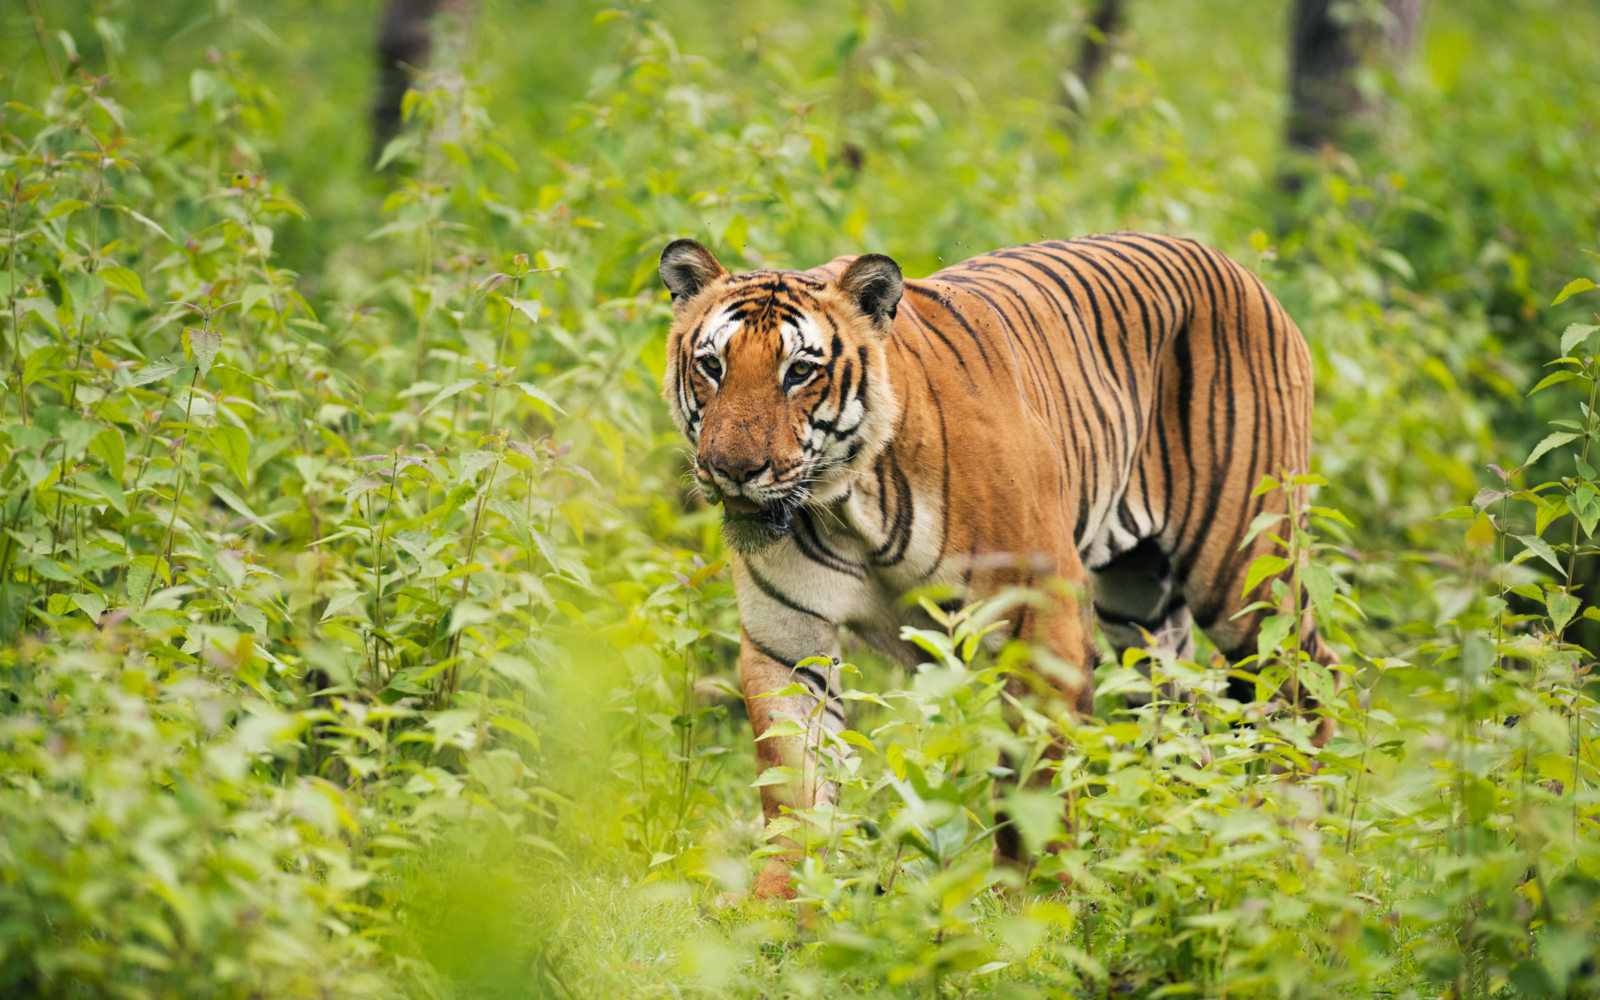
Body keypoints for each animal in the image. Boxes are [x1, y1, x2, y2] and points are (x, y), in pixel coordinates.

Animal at [658, 232, 1334, 899]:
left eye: (799, 371)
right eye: (713, 366)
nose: (732, 470)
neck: (849, 503)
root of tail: (1238, 267)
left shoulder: (1044, 622)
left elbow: (1034, 782)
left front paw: (1031, 898)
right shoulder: (788, 638)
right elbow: (794, 780)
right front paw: (780, 899)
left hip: (1246, 569)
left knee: (1305, 683)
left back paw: (1280, 843)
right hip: (1139, 608)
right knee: (1181, 715)